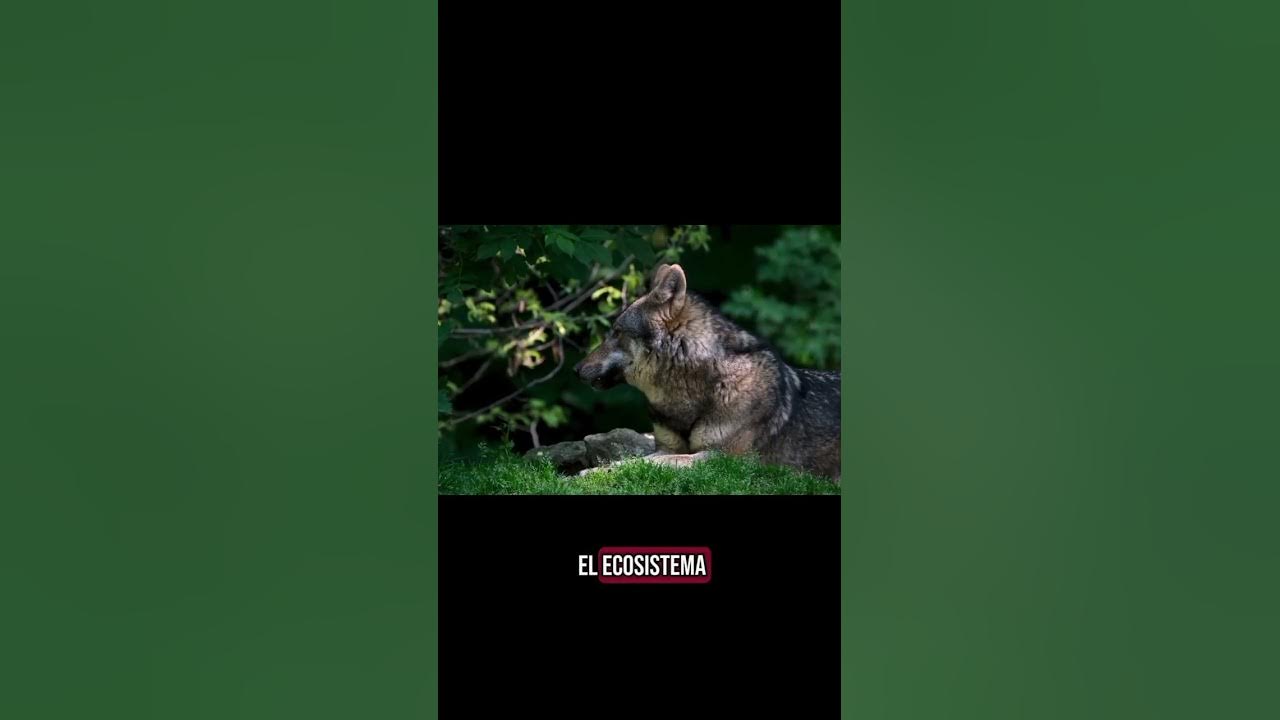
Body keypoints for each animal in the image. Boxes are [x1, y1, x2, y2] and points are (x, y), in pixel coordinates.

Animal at [573, 264, 840, 480]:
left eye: (617, 332)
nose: (576, 370)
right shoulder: (667, 447)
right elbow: (634, 460)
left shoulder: (725, 460)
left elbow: (645, 463)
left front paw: (592, 474)